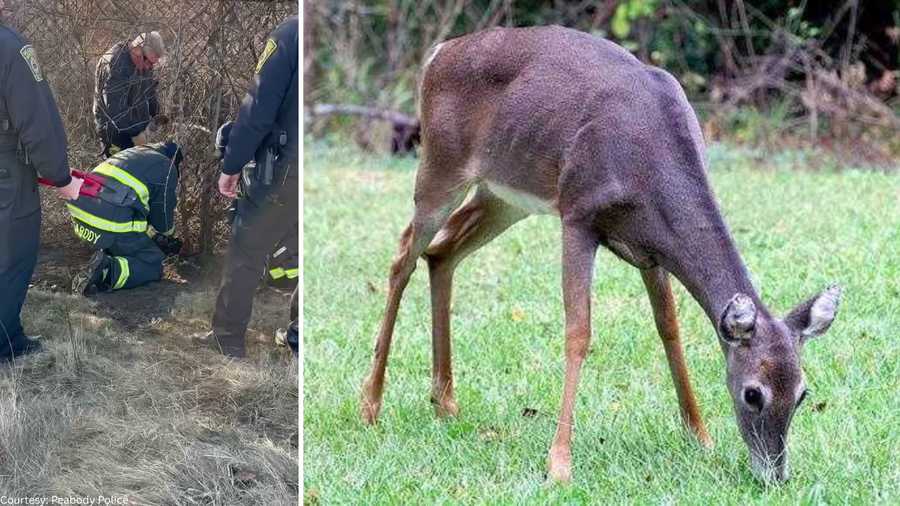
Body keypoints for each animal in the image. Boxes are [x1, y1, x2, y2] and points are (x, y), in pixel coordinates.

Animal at [359, 25, 841, 484]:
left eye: (802, 393)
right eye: (753, 393)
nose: (774, 474)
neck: (649, 165)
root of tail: (439, 53)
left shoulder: (650, 249)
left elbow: (669, 328)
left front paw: (700, 436)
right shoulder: (578, 214)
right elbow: (579, 332)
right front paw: (559, 463)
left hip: (504, 194)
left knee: (442, 252)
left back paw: (445, 402)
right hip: (440, 165)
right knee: (402, 256)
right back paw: (370, 403)